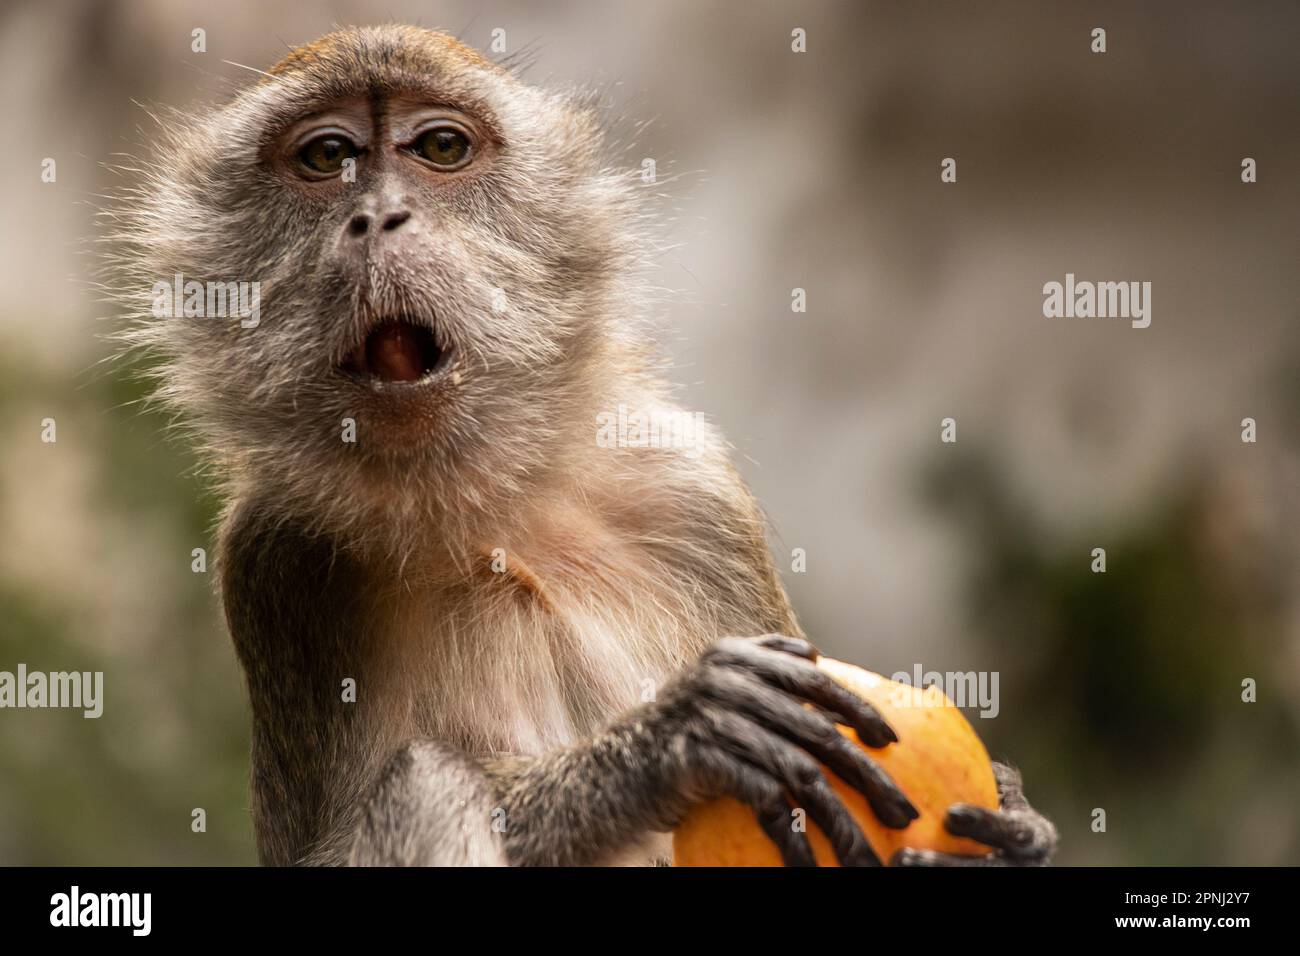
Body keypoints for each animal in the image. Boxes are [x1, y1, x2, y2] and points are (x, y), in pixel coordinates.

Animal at [107, 25, 1056, 867]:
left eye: (440, 146)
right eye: (324, 157)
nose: (377, 216)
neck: (488, 510)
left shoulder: (691, 487)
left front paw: (1010, 828)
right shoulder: (280, 564)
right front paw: (661, 745)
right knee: (425, 786)